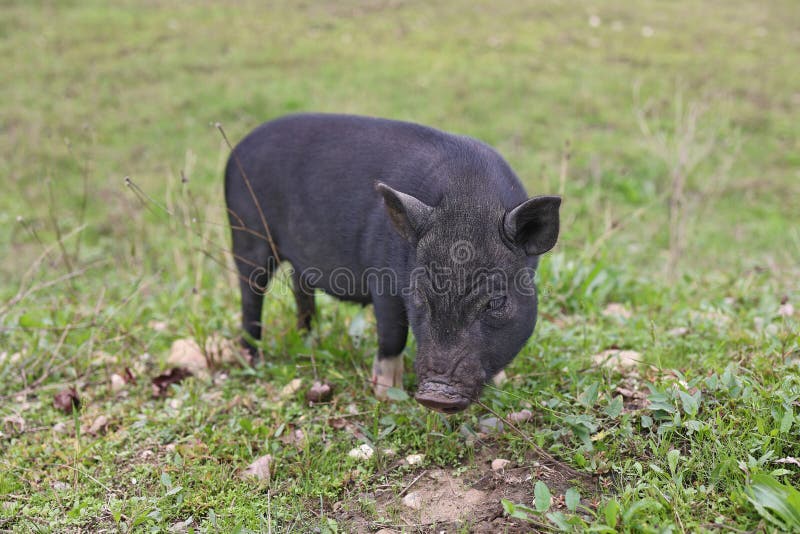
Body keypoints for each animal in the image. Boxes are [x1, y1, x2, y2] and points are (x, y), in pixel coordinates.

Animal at [225, 114, 560, 413]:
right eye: (420, 294)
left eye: (496, 302)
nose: (436, 396)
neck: (470, 199)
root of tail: (237, 149)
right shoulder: (383, 281)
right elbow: (392, 335)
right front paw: (388, 396)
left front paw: (502, 383)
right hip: (246, 231)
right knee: (250, 295)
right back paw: (253, 358)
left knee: (299, 288)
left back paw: (308, 339)